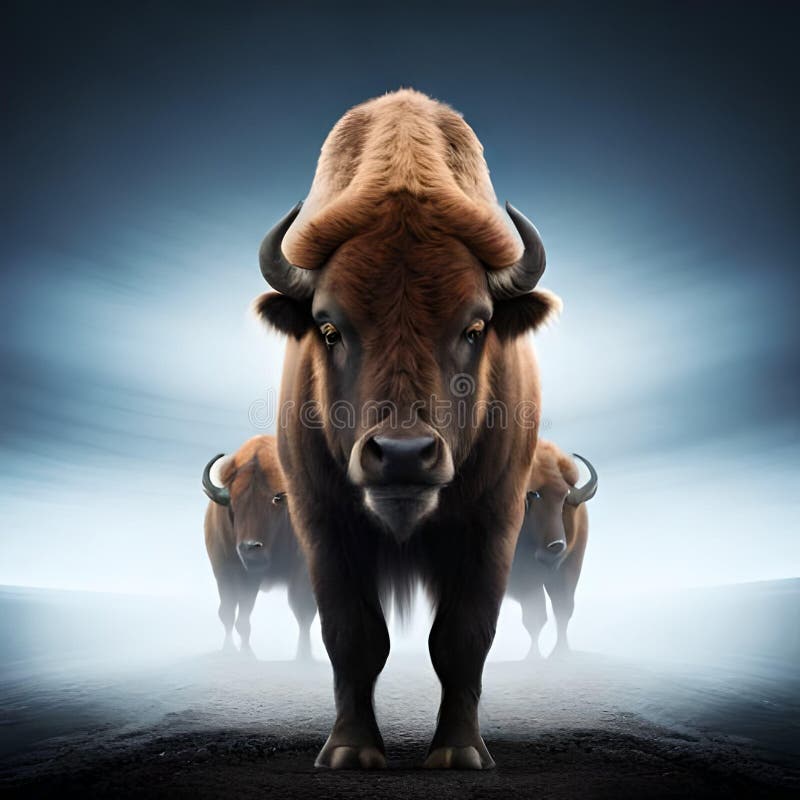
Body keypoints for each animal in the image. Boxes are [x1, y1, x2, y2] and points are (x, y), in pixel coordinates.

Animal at [202, 435, 315, 659]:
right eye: (233, 503)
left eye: (276, 500)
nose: (250, 547)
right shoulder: (226, 571)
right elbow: (231, 613)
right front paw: (233, 651)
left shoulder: (304, 571)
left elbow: (304, 612)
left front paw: (304, 657)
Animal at [255, 89, 561, 769]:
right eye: (329, 327)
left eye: (475, 326)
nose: (401, 455)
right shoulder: (322, 521)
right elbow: (353, 635)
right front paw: (350, 752)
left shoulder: (494, 522)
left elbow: (462, 637)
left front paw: (459, 753)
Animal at [507, 441, 597, 658]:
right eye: (531, 498)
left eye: (564, 501)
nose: (556, 545)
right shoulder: (526, 580)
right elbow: (535, 618)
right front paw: (533, 657)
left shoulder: (567, 571)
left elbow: (561, 610)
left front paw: (560, 654)